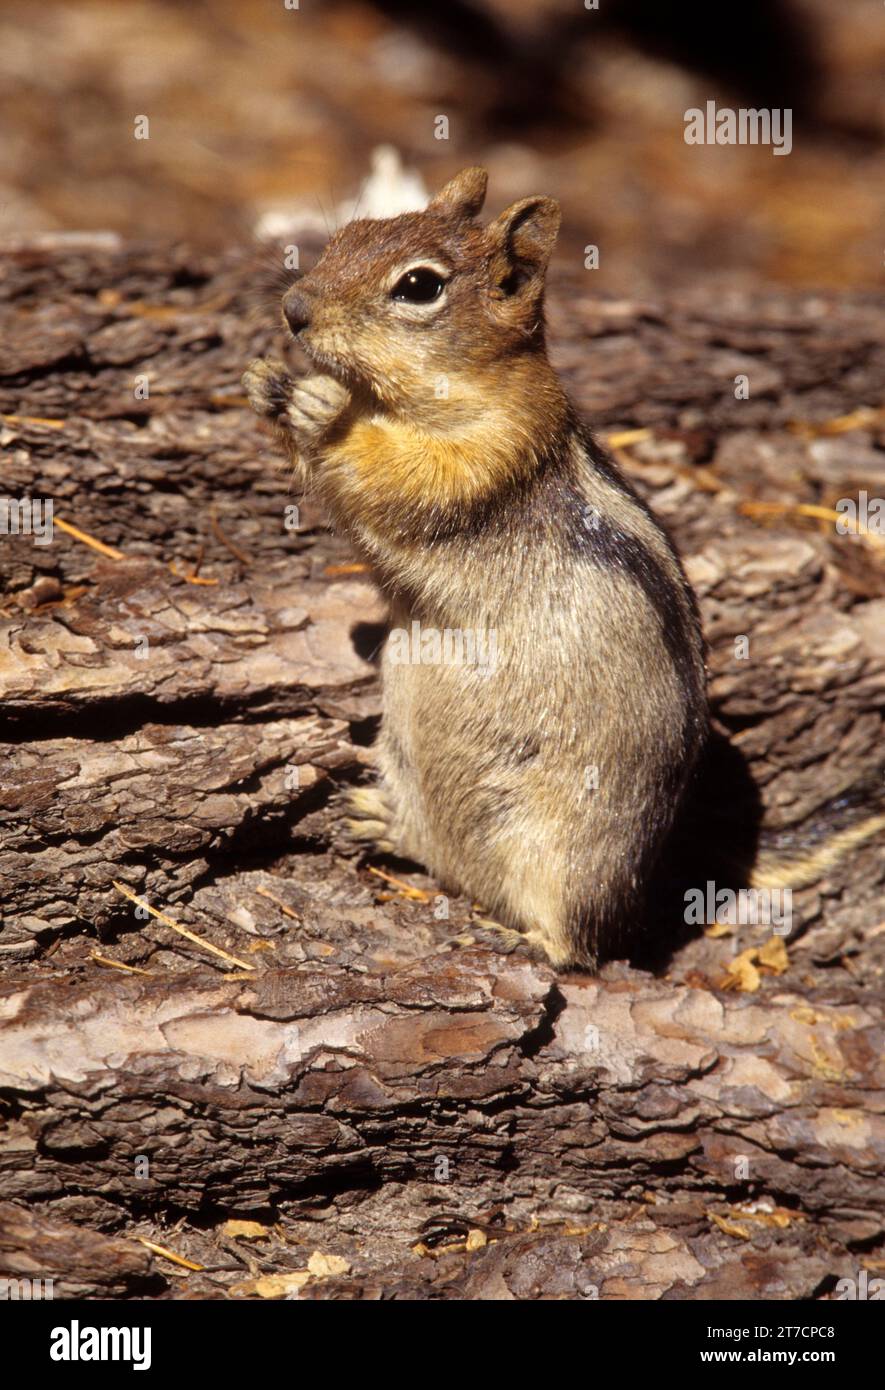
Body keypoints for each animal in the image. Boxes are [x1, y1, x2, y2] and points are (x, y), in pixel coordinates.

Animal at [243, 165, 712, 970]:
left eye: (419, 286)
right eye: (349, 233)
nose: (294, 310)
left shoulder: (485, 454)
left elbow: (400, 470)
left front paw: (317, 404)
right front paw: (267, 381)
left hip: (567, 857)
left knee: (576, 945)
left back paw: (520, 938)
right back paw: (382, 820)